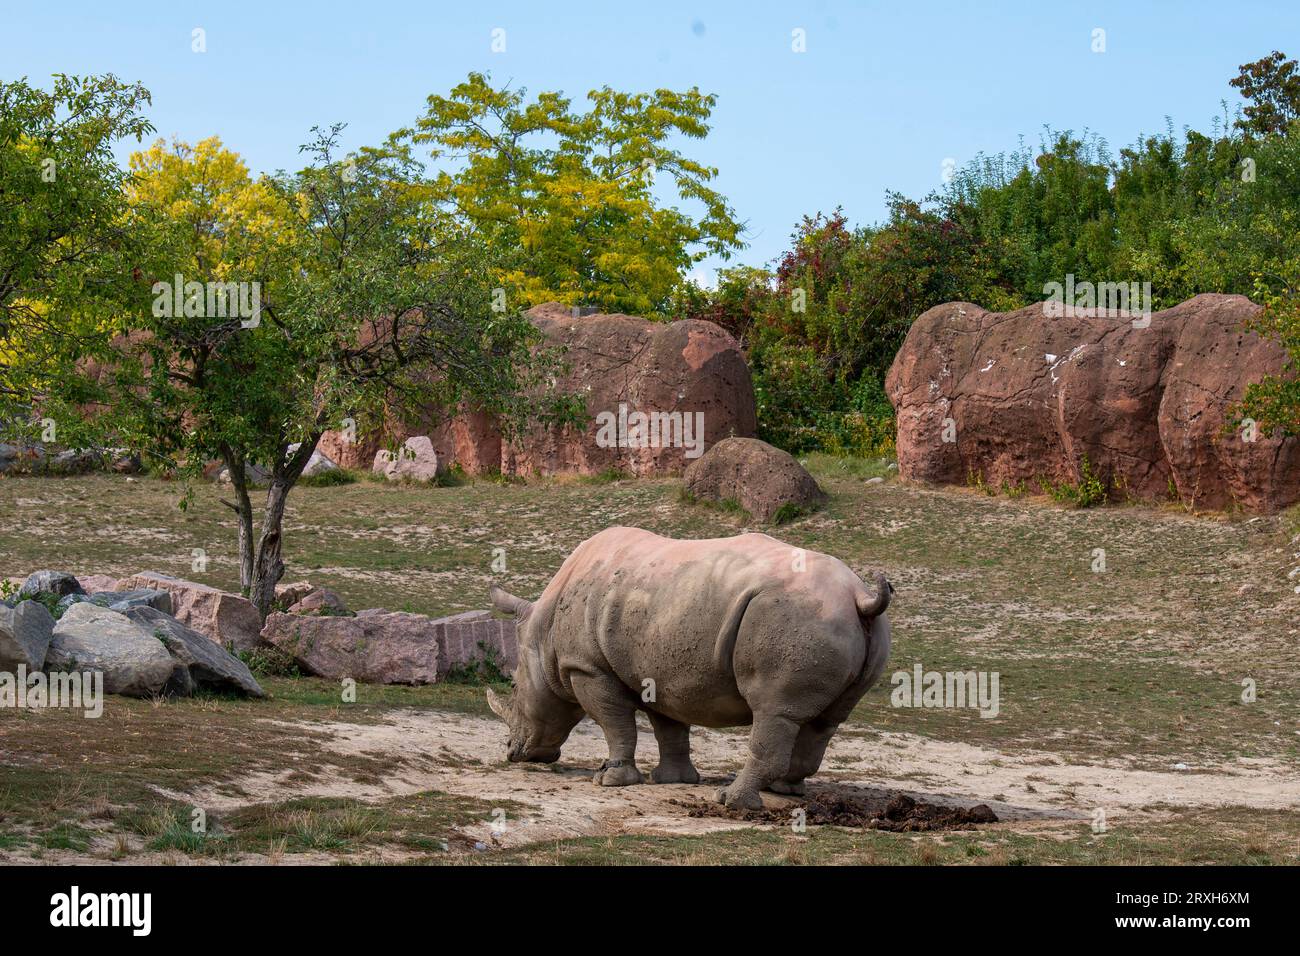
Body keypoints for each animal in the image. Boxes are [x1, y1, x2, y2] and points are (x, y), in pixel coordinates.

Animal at [486, 526, 892, 810]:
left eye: (513, 688)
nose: (512, 752)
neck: (542, 637)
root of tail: (859, 596)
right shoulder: (658, 672)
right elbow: (669, 727)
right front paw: (672, 780)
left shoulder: (586, 668)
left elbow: (614, 722)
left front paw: (611, 780)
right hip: (841, 624)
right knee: (824, 721)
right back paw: (786, 791)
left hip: (795, 615)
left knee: (774, 711)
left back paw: (731, 802)